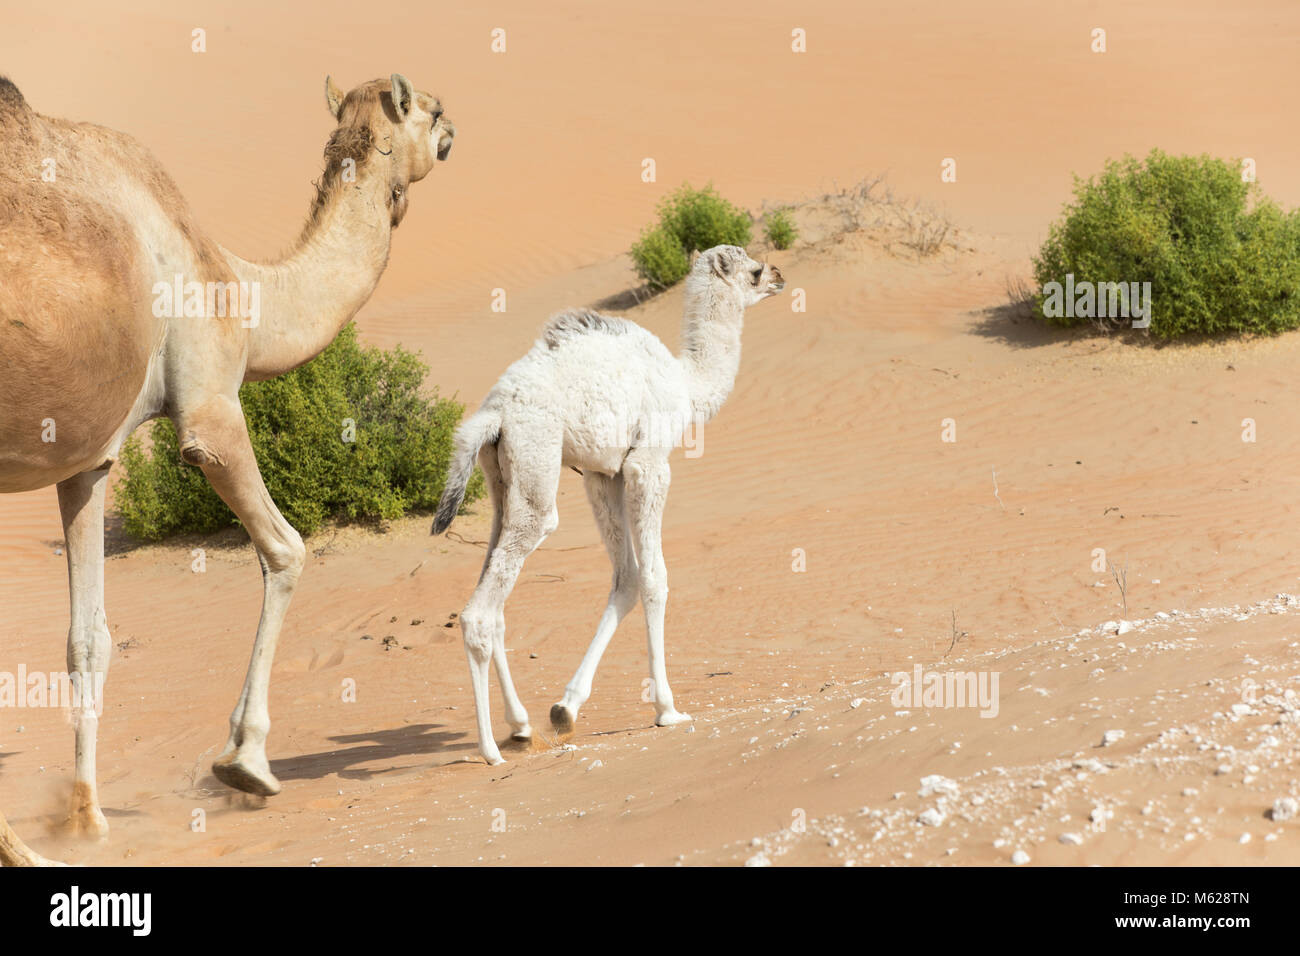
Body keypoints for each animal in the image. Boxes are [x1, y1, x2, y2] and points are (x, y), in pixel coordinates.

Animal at [0, 73, 453, 865]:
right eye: (428, 110)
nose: (456, 125)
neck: (241, 289)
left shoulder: (86, 458)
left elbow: (88, 638)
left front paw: (86, 820)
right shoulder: (210, 409)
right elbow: (288, 548)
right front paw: (246, 762)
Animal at [432, 245, 785, 764]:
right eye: (754, 271)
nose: (780, 276)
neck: (686, 384)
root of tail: (493, 413)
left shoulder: (603, 474)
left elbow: (627, 578)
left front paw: (565, 708)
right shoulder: (647, 463)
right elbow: (655, 578)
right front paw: (667, 709)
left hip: (501, 478)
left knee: (495, 599)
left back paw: (520, 726)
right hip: (538, 464)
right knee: (481, 610)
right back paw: (490, 751)